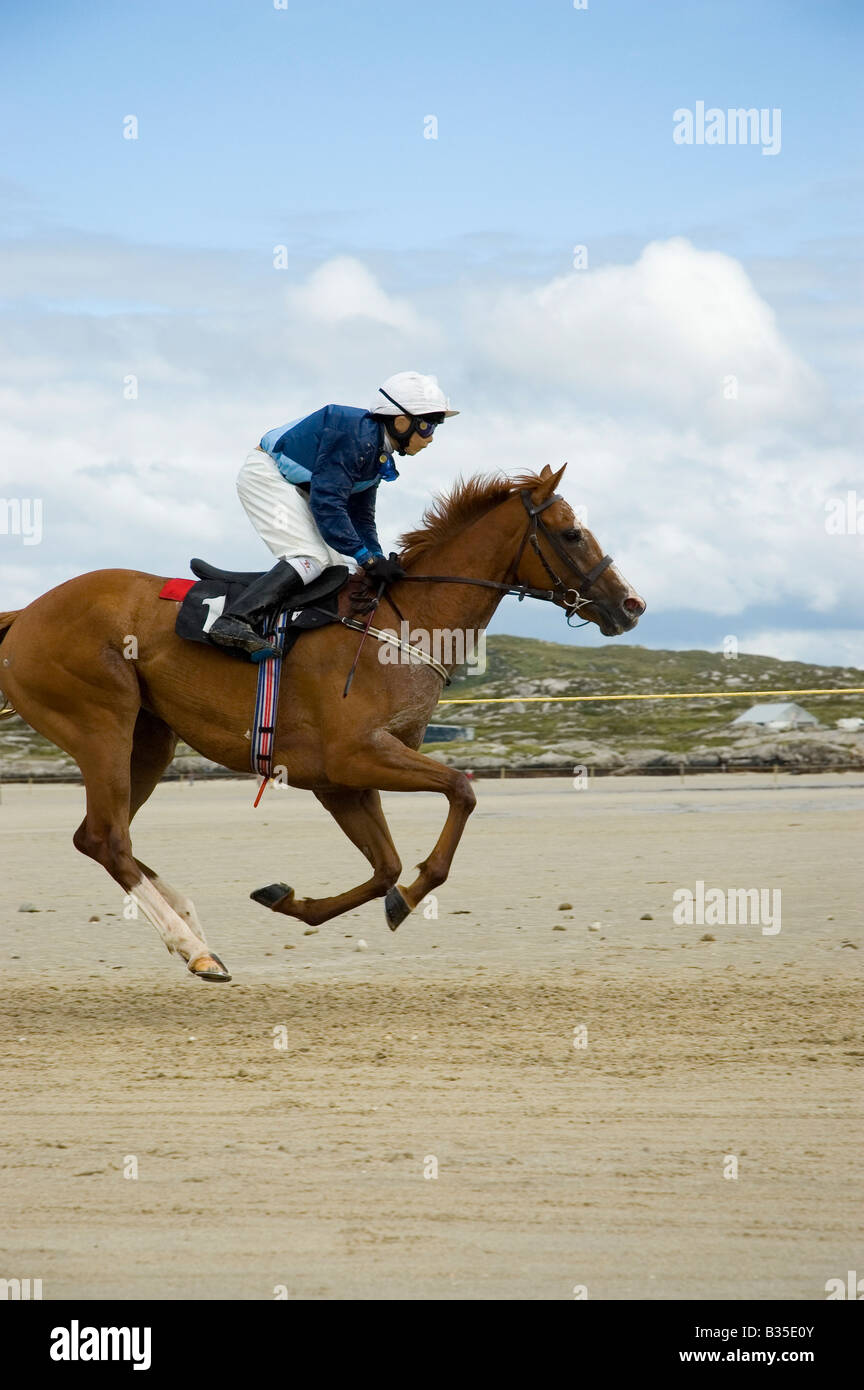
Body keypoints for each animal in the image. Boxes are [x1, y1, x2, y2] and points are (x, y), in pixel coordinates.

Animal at [0, 463, 645, 981]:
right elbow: (461, 792)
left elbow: (385, 868)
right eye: (572, 532)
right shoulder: (355, 756)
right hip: (100, 723)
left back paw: (192, 924)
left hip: (149, 739)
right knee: (108, 838)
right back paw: (195, 950)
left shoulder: (343, 780)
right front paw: (409, 894)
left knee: (95, 837)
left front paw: (296, 900)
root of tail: (26, 613)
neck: (402, 624)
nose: (631, 604)